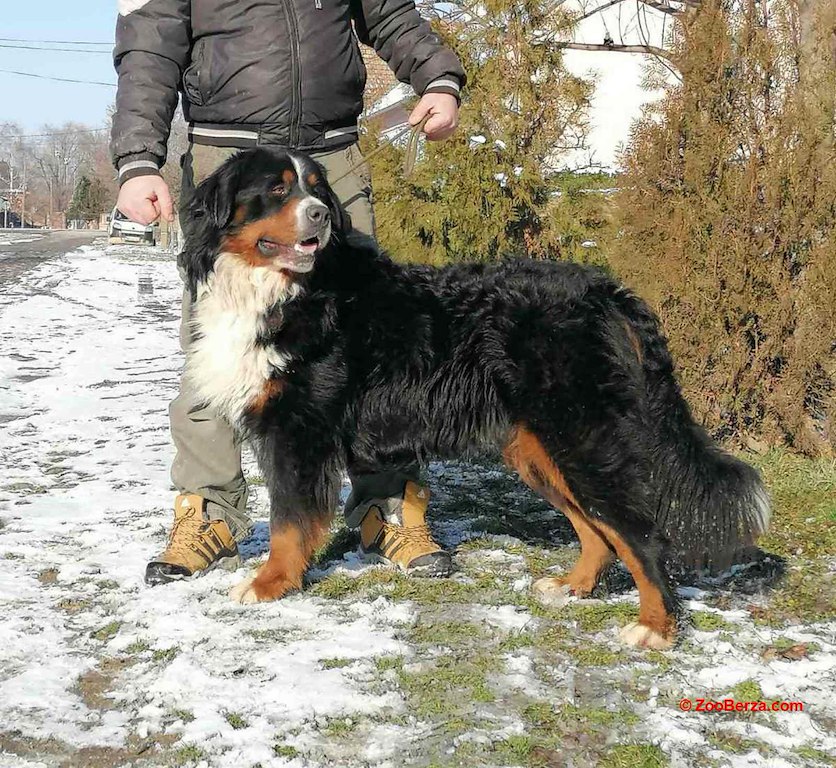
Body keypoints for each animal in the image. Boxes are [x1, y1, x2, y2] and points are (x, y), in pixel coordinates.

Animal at [178, 146, 772, 648]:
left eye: (317, 188)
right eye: (278, 190)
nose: (320, 214)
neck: (283, 291)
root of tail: (605, 291)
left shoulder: (298, 433)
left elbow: (287, 523)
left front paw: (269, 583)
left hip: (583, 442)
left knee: (639, 535)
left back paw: (655, 627)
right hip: (538, 451)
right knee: (596, 530)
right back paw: (571, 585)